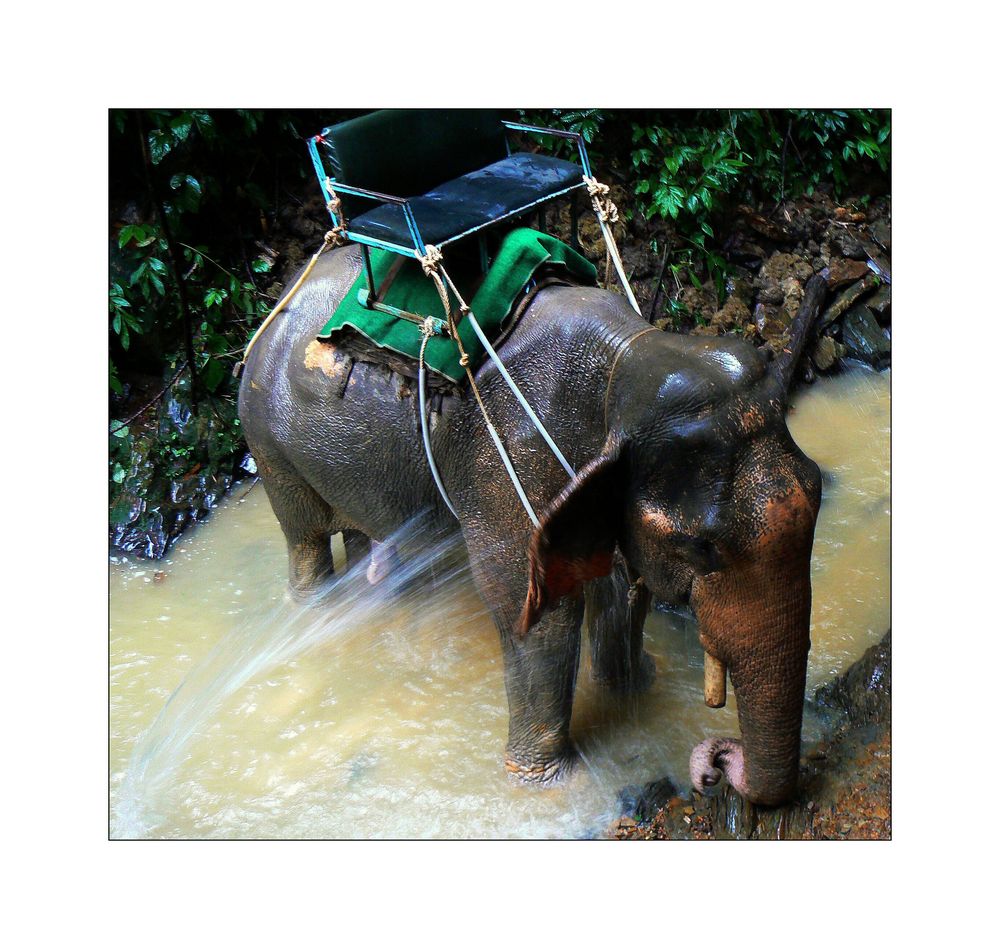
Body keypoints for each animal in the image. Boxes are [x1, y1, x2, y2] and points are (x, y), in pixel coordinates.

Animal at [238, 242, 825, 807]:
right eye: (702, 547)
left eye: (819, 492)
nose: (717, 769)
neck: (626, 360)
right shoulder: (508, 465)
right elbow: (537, 612)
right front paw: (542, 784)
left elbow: (619, 584)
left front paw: (634, 687)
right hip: (268, 443)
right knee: (306, 539)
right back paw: (316, 610)